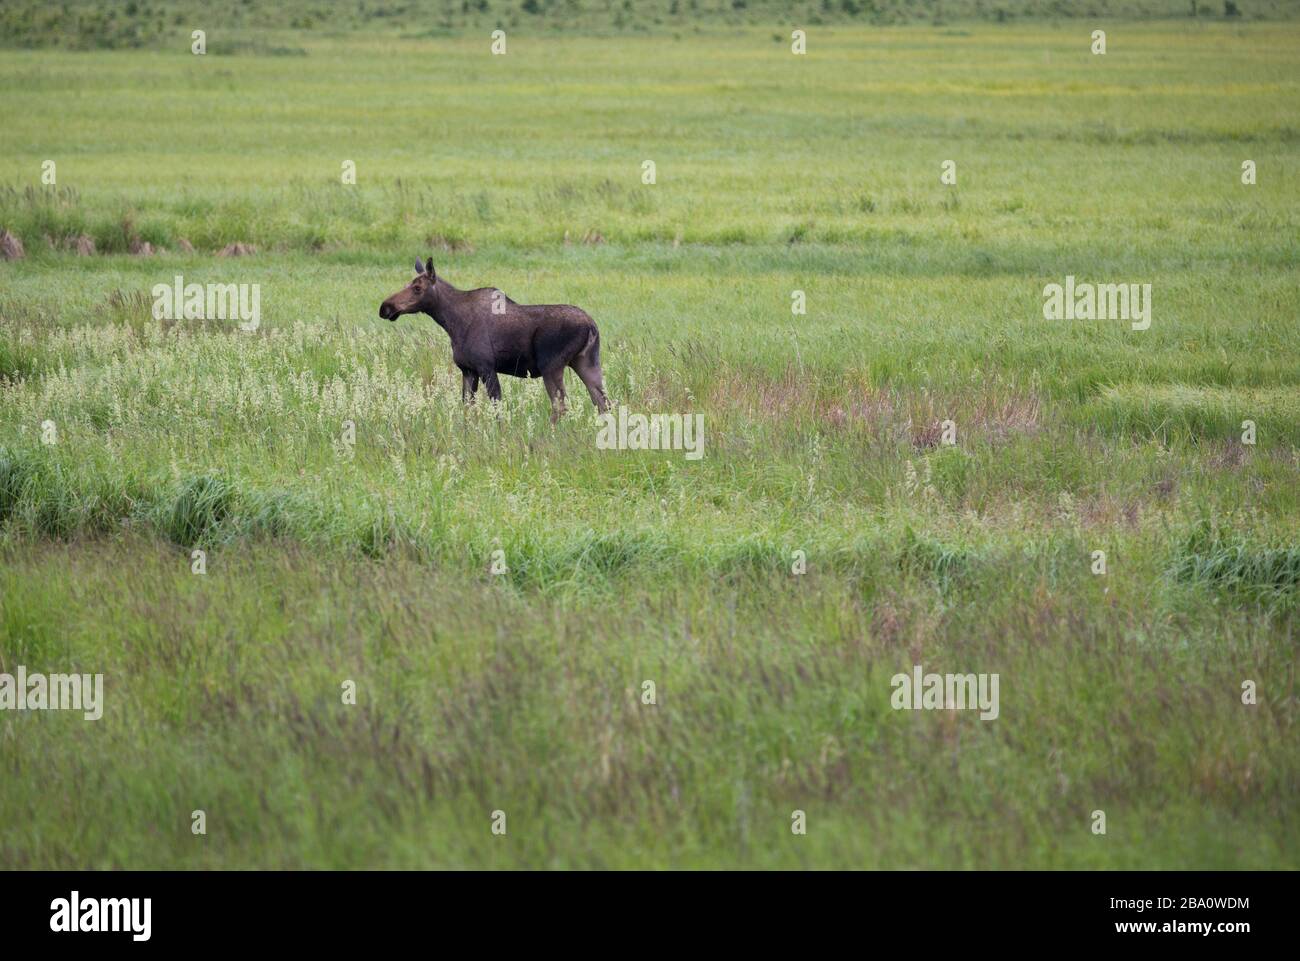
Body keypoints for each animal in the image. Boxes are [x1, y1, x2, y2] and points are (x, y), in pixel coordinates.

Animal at [380, 258, 610, 423]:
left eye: (417, 288)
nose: (385, 307)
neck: (451, 323)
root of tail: (592, 326)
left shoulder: (486, 367)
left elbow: (497, 408)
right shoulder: (468, 370)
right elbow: (467, 409)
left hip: (551, 365)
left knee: (560, 406)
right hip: (586, 362)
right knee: (603, 402)